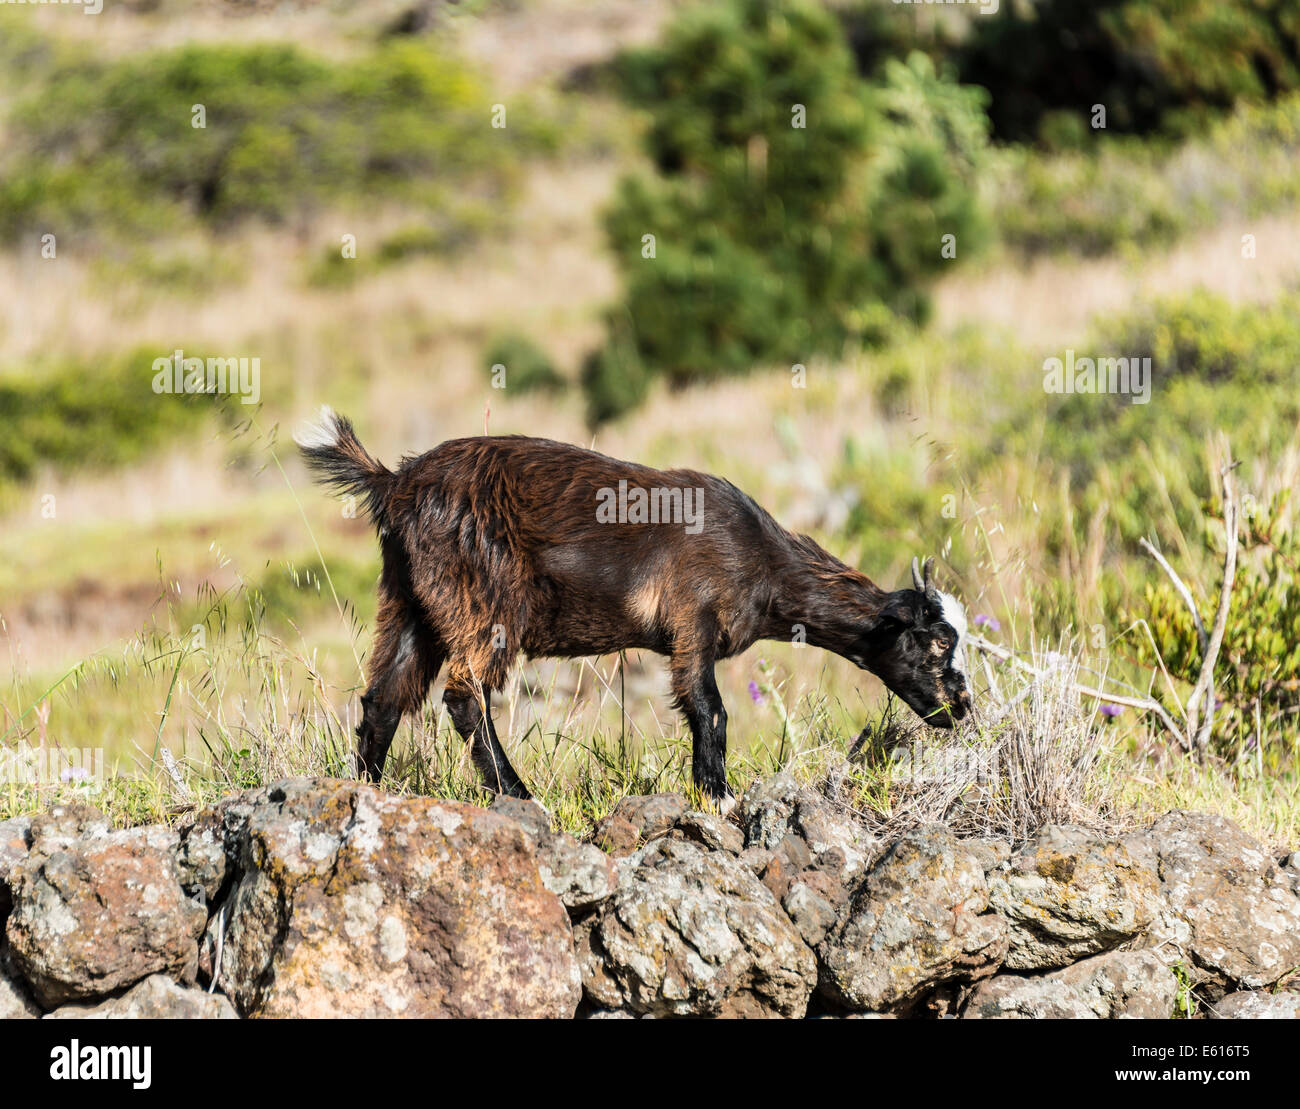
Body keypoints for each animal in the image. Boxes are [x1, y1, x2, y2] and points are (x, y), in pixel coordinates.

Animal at [295, 408, 972, 807]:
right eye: (936, 643)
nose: (961, 708)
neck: (764, 562)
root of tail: (393, 483)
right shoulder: (693, 622)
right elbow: (710, 711)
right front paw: (718, 794)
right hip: (481, 601)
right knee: (465, 696)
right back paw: (518, 794)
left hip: (411, 600)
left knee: (384, 698)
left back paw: (365, 790)